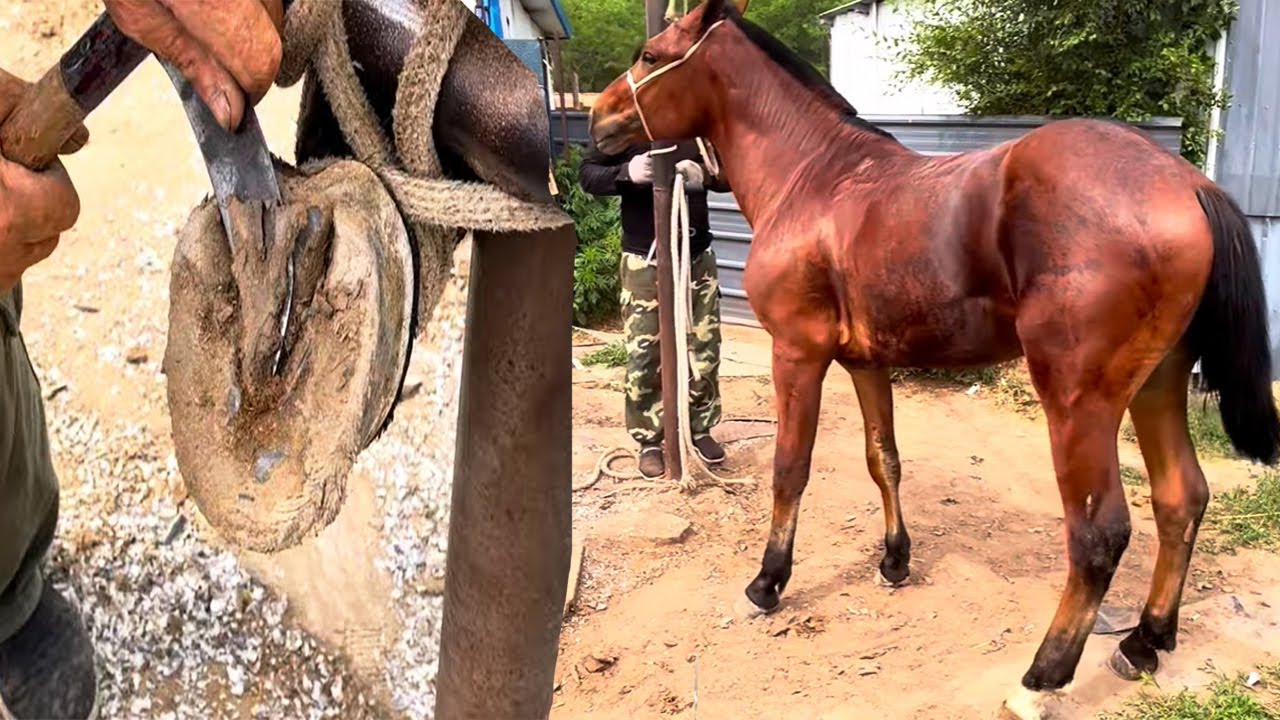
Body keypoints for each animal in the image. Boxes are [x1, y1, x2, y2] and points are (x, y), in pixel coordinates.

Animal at [588, 0, 1280, 716]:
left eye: (649, 55)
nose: (597, 119)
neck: (815, 178)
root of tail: (1188, 183)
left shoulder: (798, 354)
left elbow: (791, 469)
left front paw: (768, 582)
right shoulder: (865, 361)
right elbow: (883, 459)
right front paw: (894, 560)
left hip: (1078, 402)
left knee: (1098, 534)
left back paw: (1041, 677)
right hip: (1157, 383)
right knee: (1181, 498)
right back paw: (1145, 641)